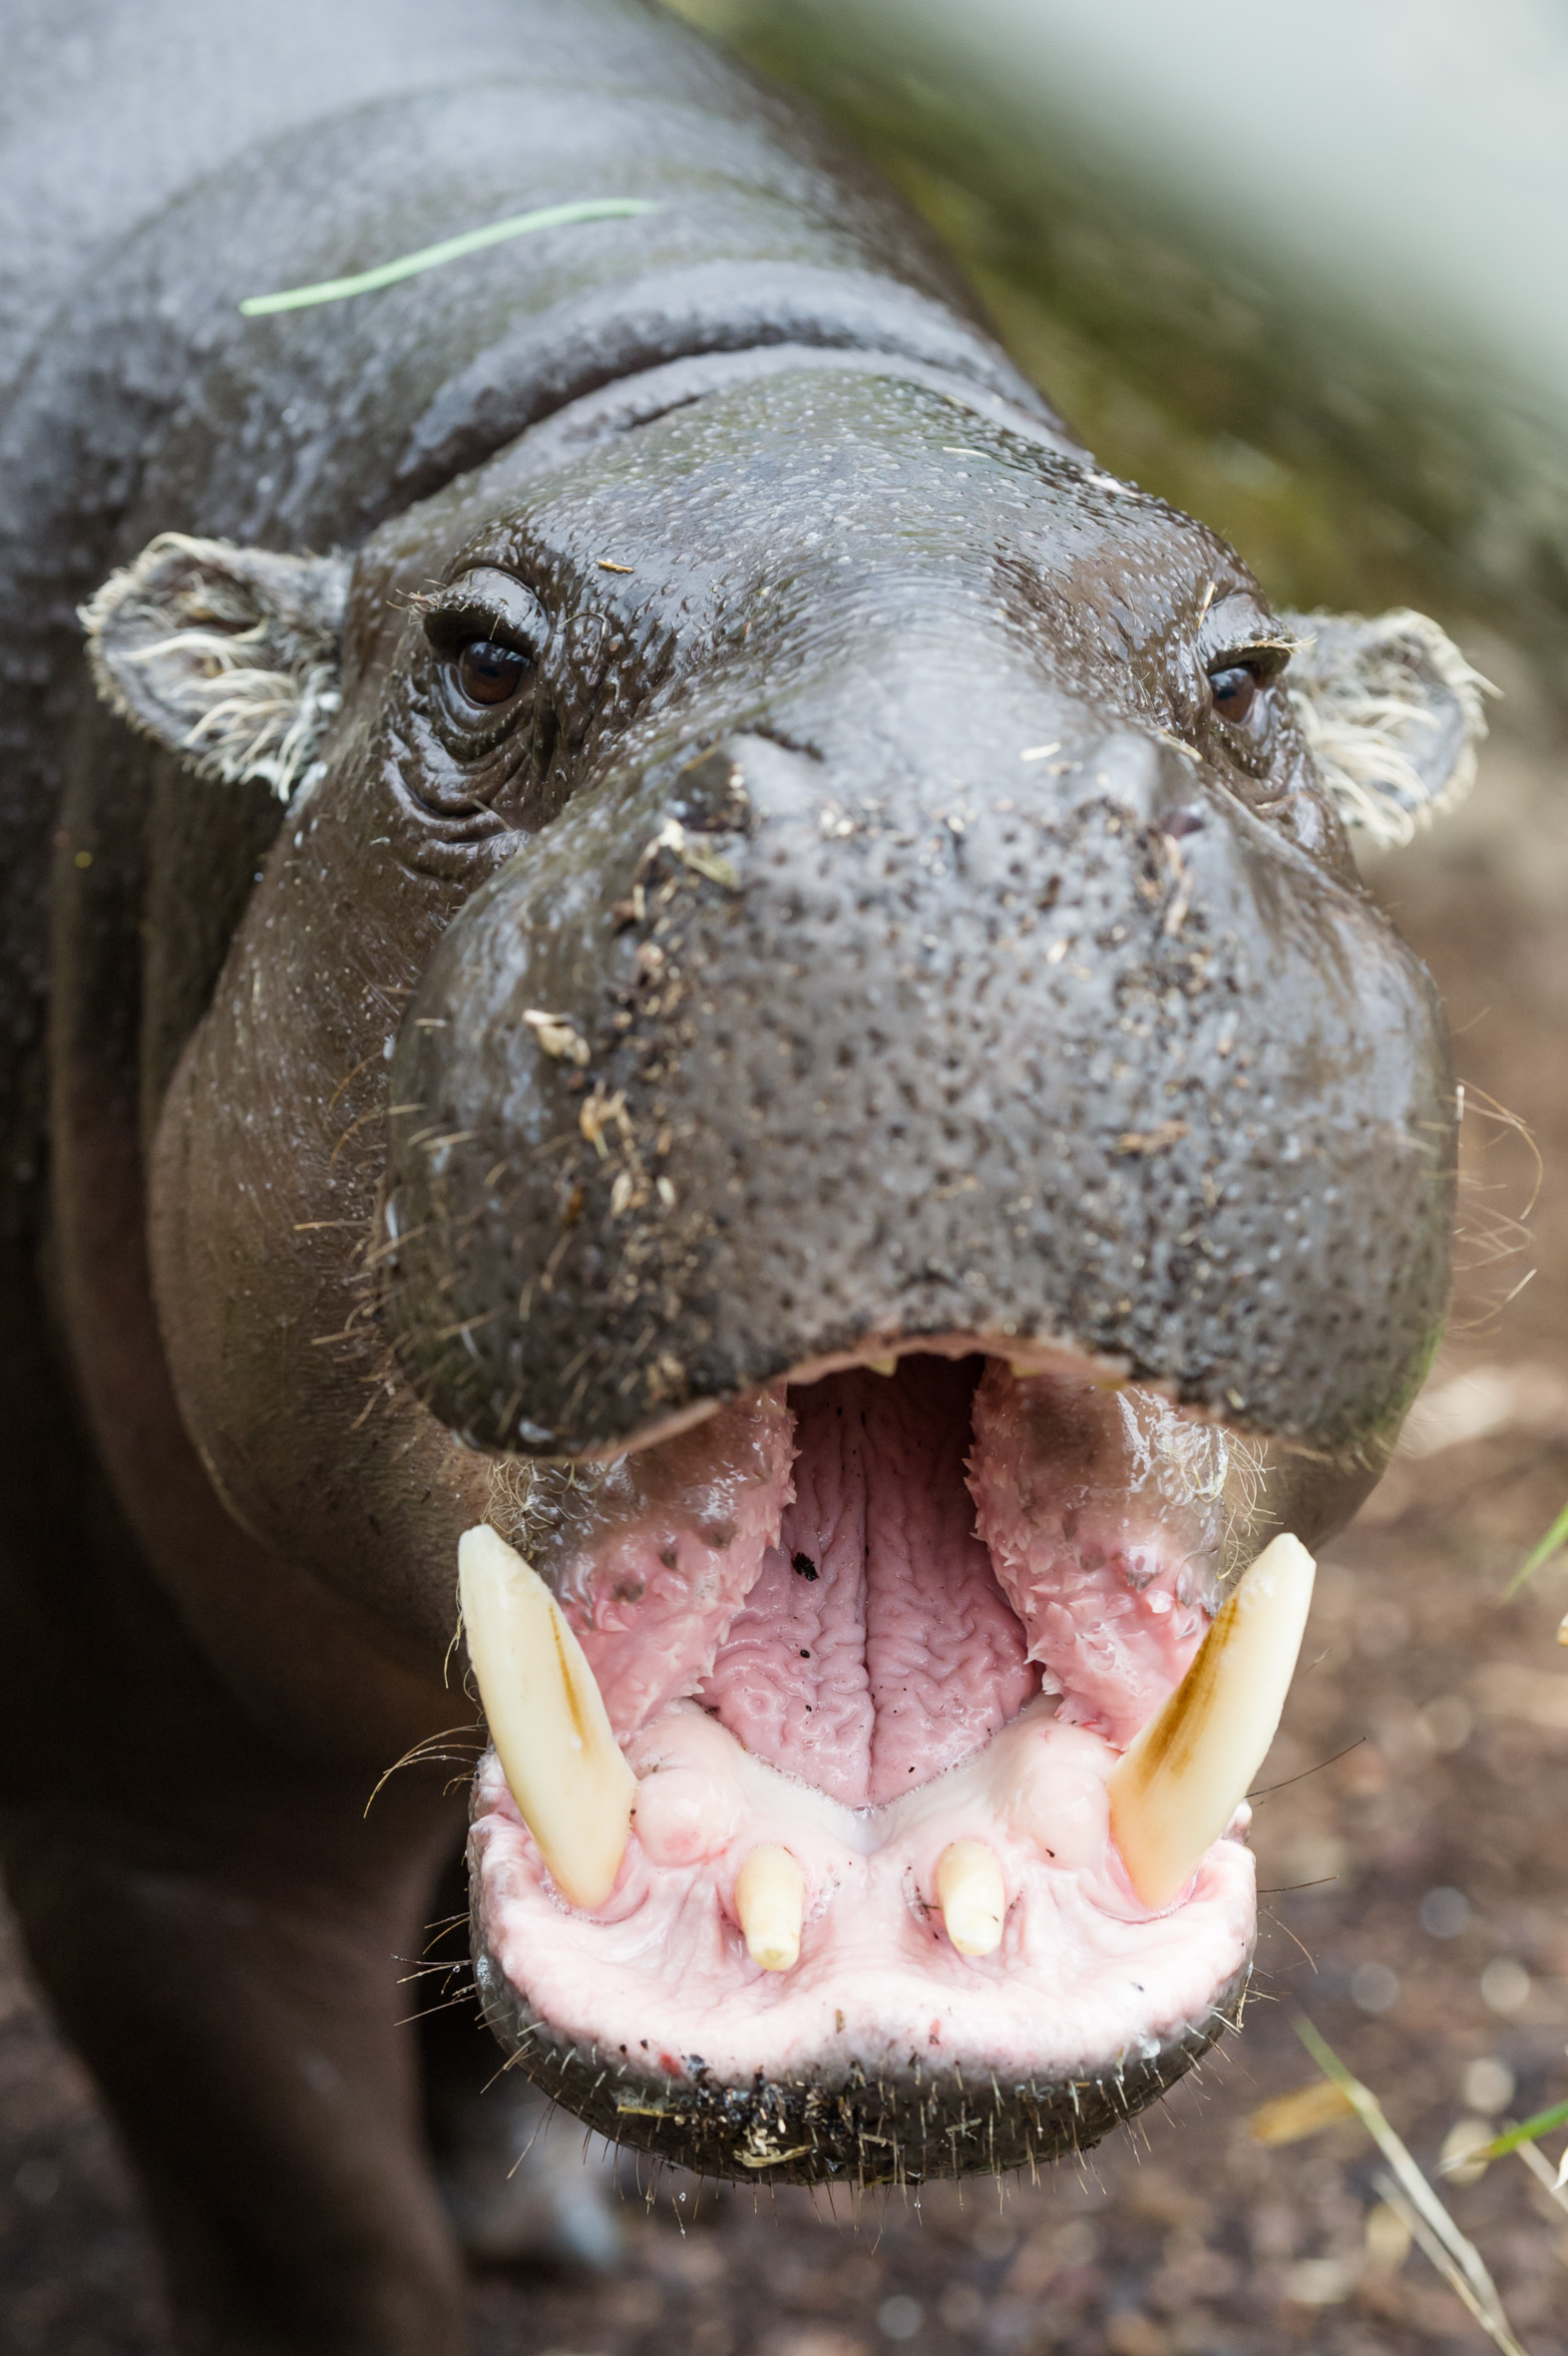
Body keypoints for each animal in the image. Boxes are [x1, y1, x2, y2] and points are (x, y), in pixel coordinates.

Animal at [0, 0, 1488, 2348]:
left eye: (1246, 672)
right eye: (479, 656)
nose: (951, 816)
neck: (691, 343)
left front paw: (533, 2194)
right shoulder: (151, 1846)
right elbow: (312, 2233)